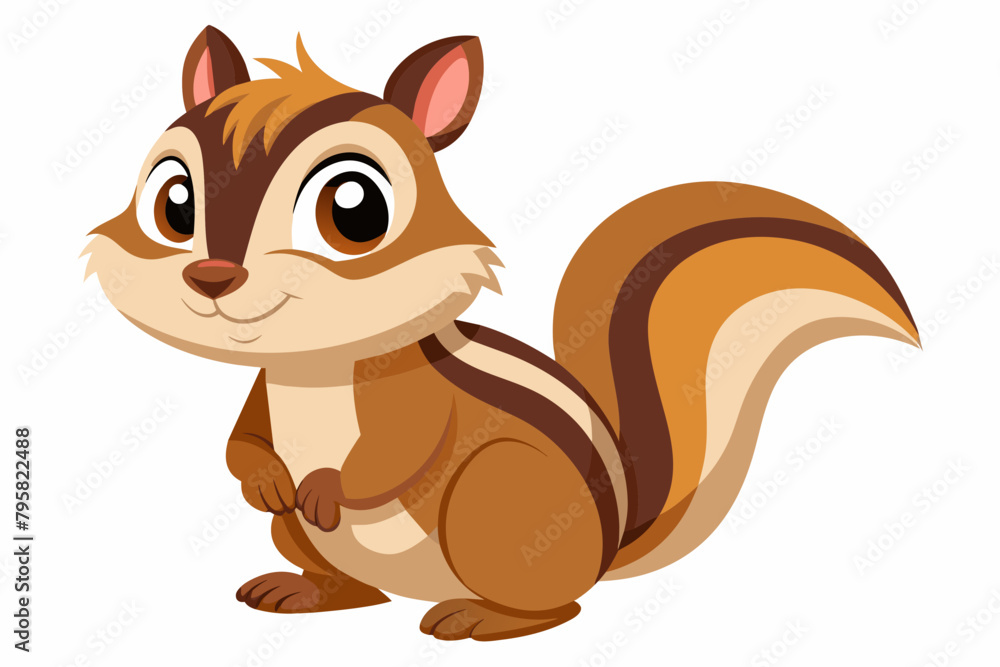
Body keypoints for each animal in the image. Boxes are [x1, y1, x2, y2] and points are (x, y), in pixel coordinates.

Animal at [84, 26, 920, 641]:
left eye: (355, 209)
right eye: (174, 202)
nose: (213, 277)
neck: (317, 367)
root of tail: (608, 548)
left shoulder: (411, 404)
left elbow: (397, 453)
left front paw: (327, 486)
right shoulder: (263, 391)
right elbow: (241, 441)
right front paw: (267, 478)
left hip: (497, 499)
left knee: (559, 607)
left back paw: (477, 617)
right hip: (318, 544)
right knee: (358, 591)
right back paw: (303, 591)